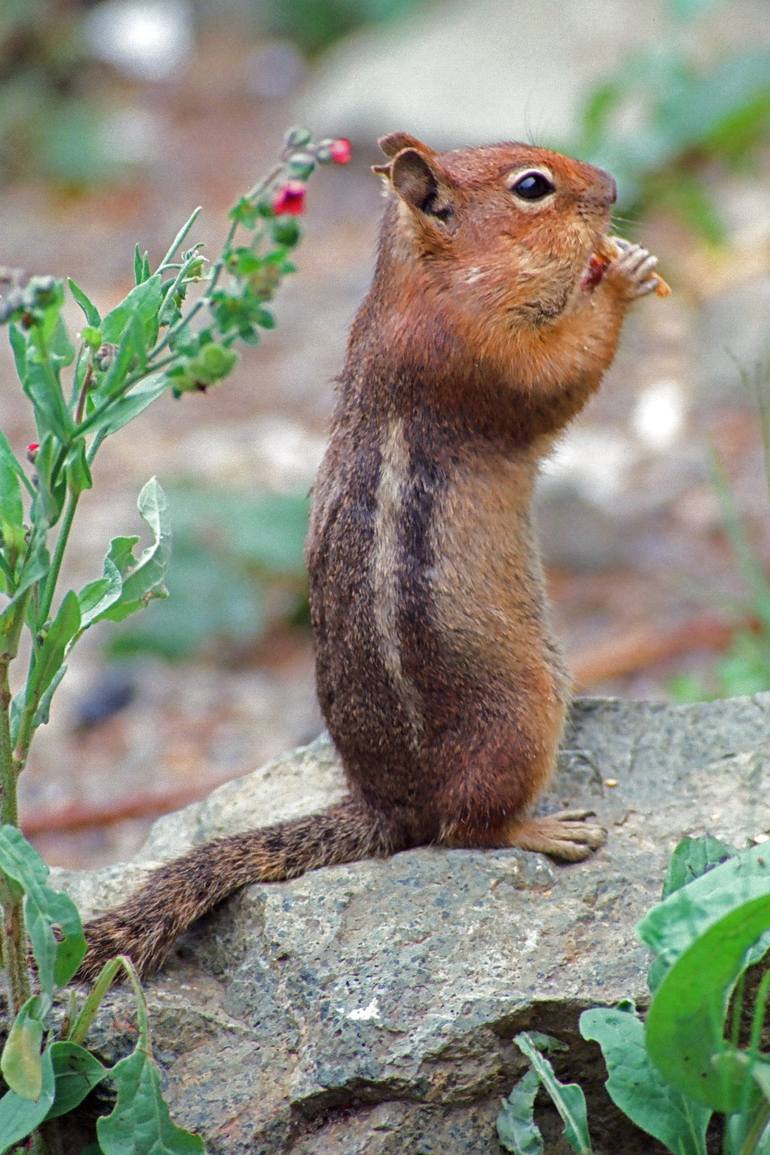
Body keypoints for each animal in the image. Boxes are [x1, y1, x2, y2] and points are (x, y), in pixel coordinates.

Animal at [77, 132, 666, 981]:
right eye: (533, 187)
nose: (614, 187)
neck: (431, 279)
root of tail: (387, 806)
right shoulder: (478, 350)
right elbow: (557, 375)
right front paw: (618, 276)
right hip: (521, 711)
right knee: (465, 828)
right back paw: (549, 830)